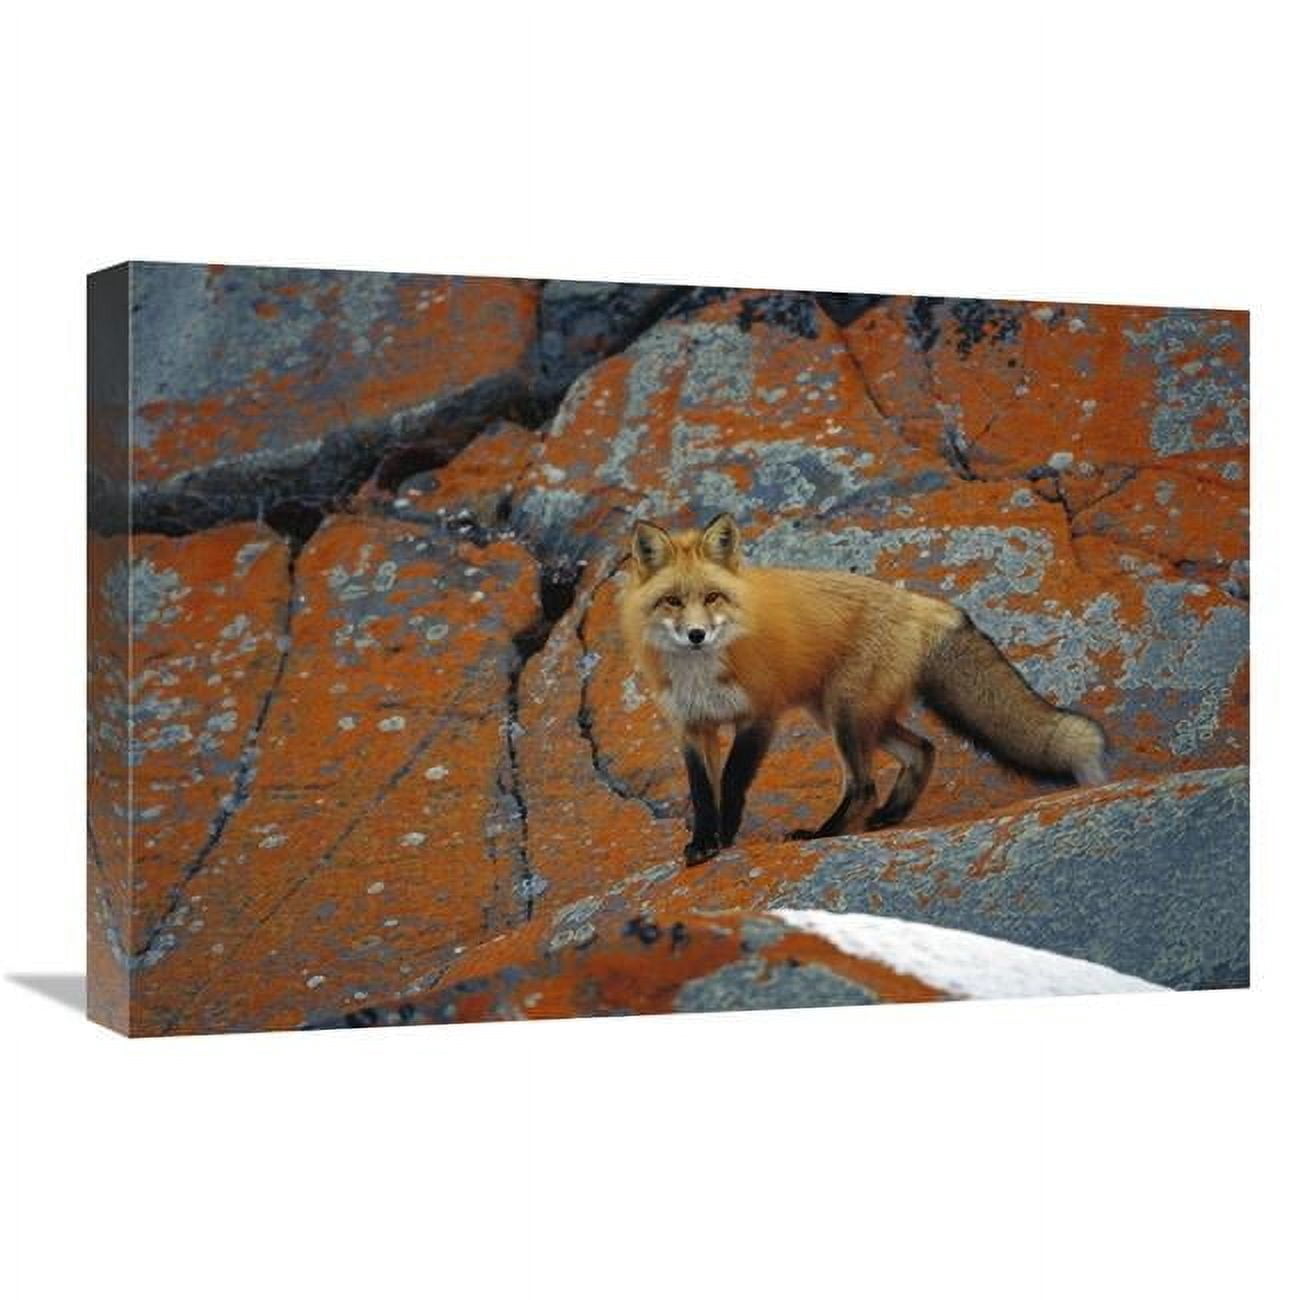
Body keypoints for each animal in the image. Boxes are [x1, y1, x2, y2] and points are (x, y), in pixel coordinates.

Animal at [618, 512, 1107, 865]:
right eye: (672, 601)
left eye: (713, 597)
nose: (696, 635)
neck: (701, 671)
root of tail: (918, 601)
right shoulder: (692, 726)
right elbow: (703, 792)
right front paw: (704, 843)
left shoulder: (760, 715)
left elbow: (733, 782)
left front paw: (728, 835)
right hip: (844, 713)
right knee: (923, 749)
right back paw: (891, 816)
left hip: (845, 715)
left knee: (863, 784)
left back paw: (823, 833)